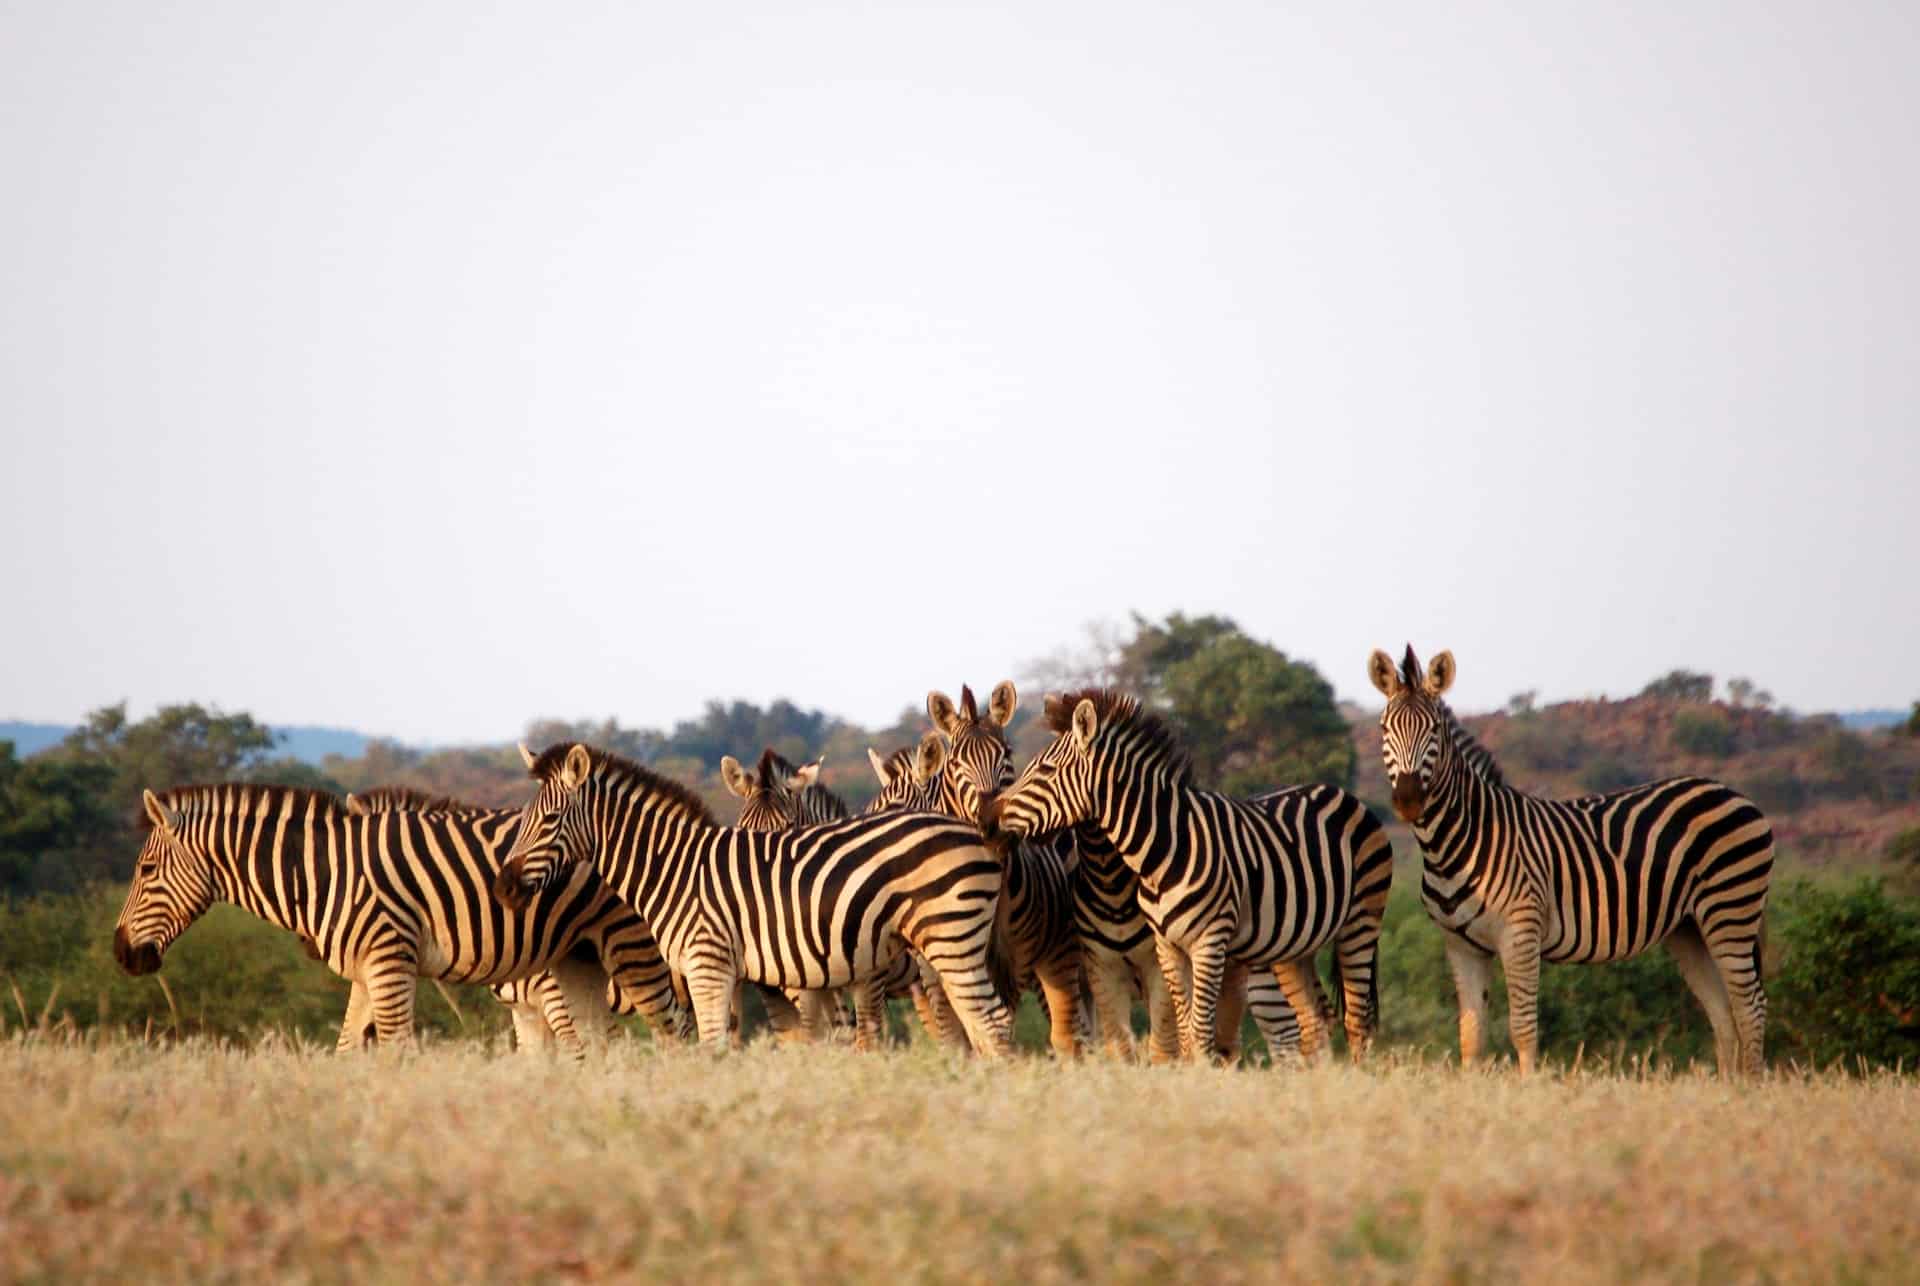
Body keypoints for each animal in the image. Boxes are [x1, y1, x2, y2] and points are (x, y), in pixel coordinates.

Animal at [112, 781, 689, 1058]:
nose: (121, 953)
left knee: (676, 1028)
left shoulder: (392, 963)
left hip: (635, 949)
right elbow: (348, 1049)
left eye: (145, 870)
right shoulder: (371, 973)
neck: (333, 873)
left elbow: (397, 1048)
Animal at [493, 743, 1017, 1056]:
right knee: (979, 1022)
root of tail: (973, 833)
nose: (504, 888)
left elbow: (714, 1050)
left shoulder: (709, 967)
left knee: (990, 1021)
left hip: (948, 942)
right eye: (524, 817)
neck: (674, 867)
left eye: (549, 819)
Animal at [983, 689, 1394, 1065]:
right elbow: (1182, 1031)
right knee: (1316, 1021)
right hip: (1295, 946)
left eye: (1046, 771)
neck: (1161, 851)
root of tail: (1341, 792)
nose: (988, 822)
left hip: (1360, 923)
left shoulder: (1208, 942)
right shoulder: (1166, 946)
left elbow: (1197, 1032)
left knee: (1357, 1021)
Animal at [1368, 645, 1774, 1075]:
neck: (1456, 843)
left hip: (1730, 911)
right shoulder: (1462, 945)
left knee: (1750, 1006)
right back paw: (1726, 1085)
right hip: (1690, 928)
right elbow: (1470, 1035)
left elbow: (1522, 1029)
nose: (1408, 800)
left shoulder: (1521, 934)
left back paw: (1748, 1087)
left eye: (1434, 732)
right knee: (1722, 1012)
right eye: (1384, 730)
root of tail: (1734, 793)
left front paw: (1530, 1088)